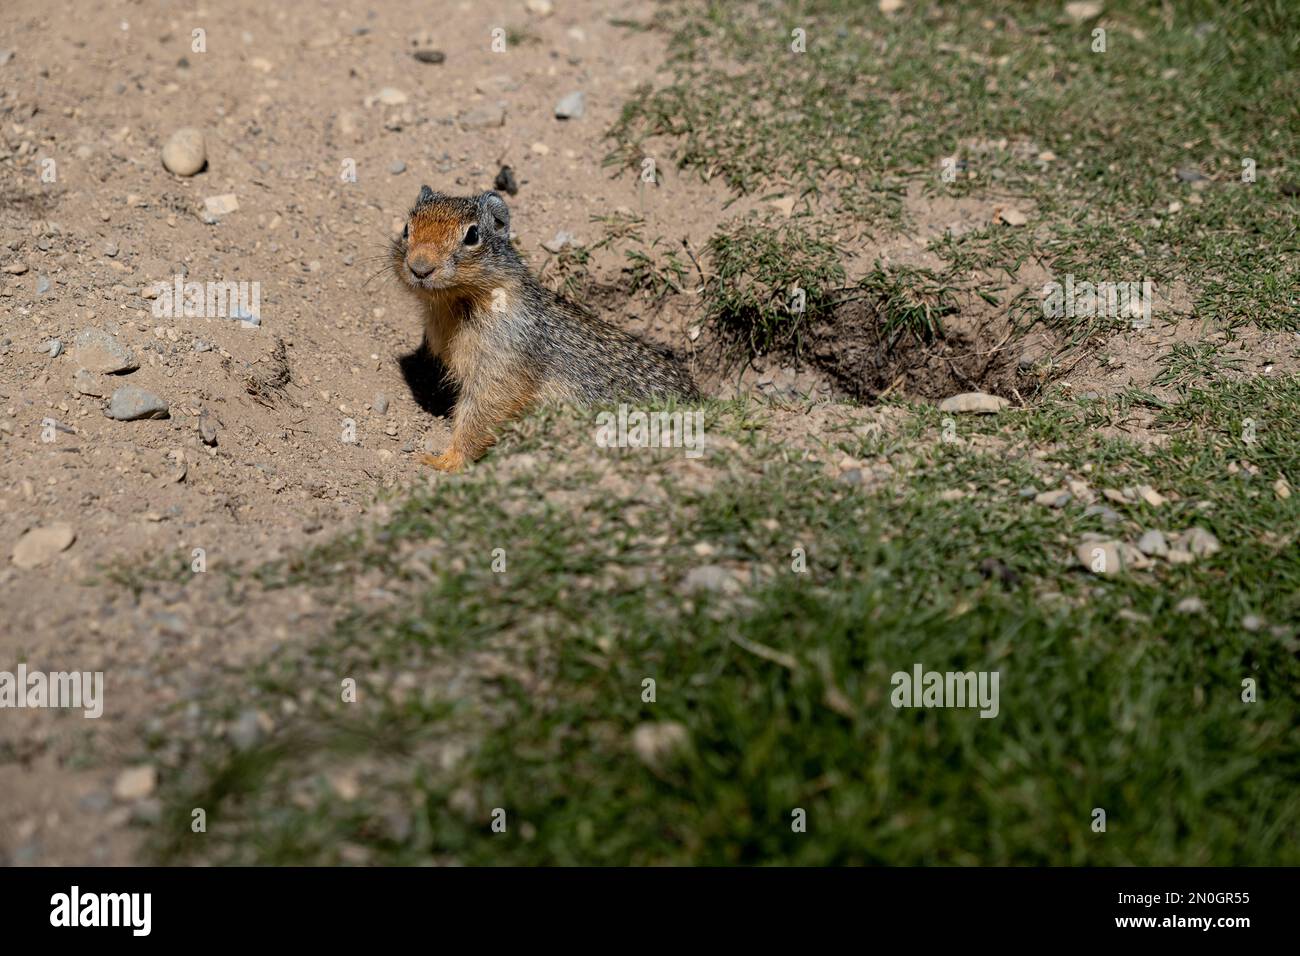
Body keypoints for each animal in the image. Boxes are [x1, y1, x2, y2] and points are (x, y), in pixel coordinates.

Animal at [392, 186, 699, 472]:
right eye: (407, 228)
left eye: (472, 235)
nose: (420, 267)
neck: (455, 304)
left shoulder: (504, 364)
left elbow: (481, 415)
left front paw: (443, 461)